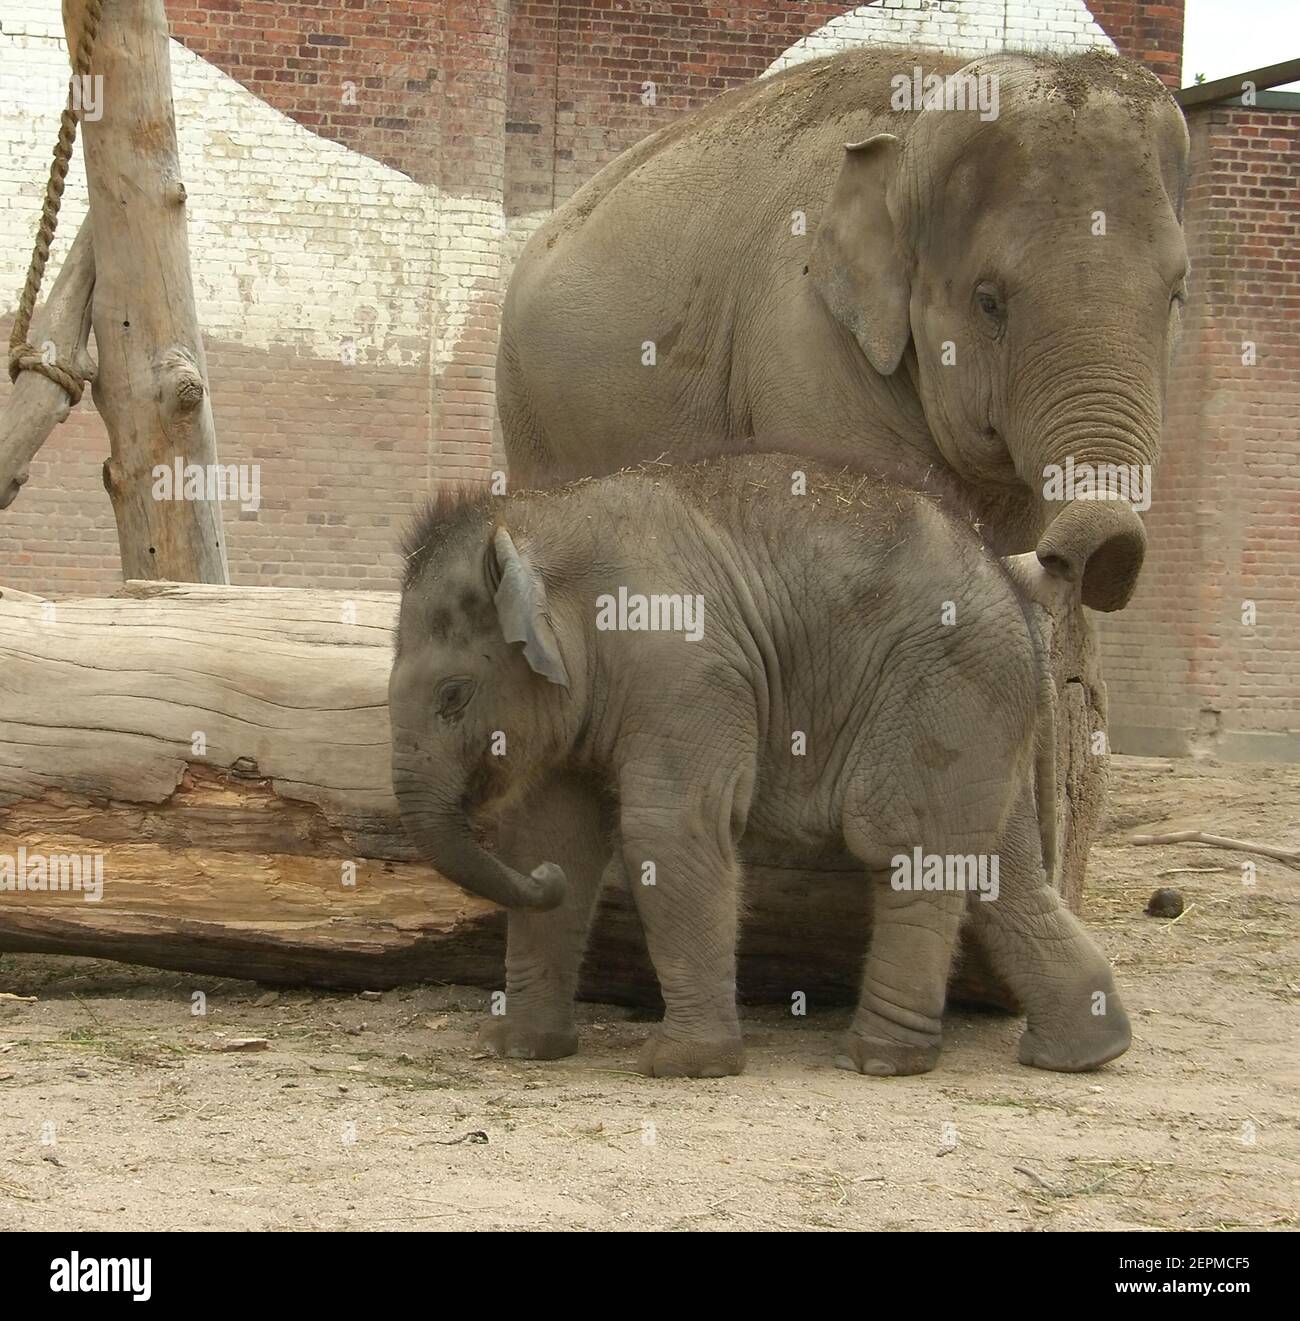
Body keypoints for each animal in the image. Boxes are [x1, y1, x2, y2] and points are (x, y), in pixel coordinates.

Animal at [388, 454, 1132, 1078]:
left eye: (453, 696)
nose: (534, 884)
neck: (536, 519)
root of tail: (1021, 606)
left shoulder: (685, 669)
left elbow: (670, 831)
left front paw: (686, 1067)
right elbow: (555, 835)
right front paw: (517, 1049)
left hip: (943, 695)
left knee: (904, 845)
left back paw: (879, 1060)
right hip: (979, 719)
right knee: (1002, 869)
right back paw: (1083, 1051)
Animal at [498, 45, 1189, 613]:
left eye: (1177, 294)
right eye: (988, 302)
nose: (1108, 552)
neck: (915, 122)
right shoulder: (802, 344)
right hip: (527, 412)